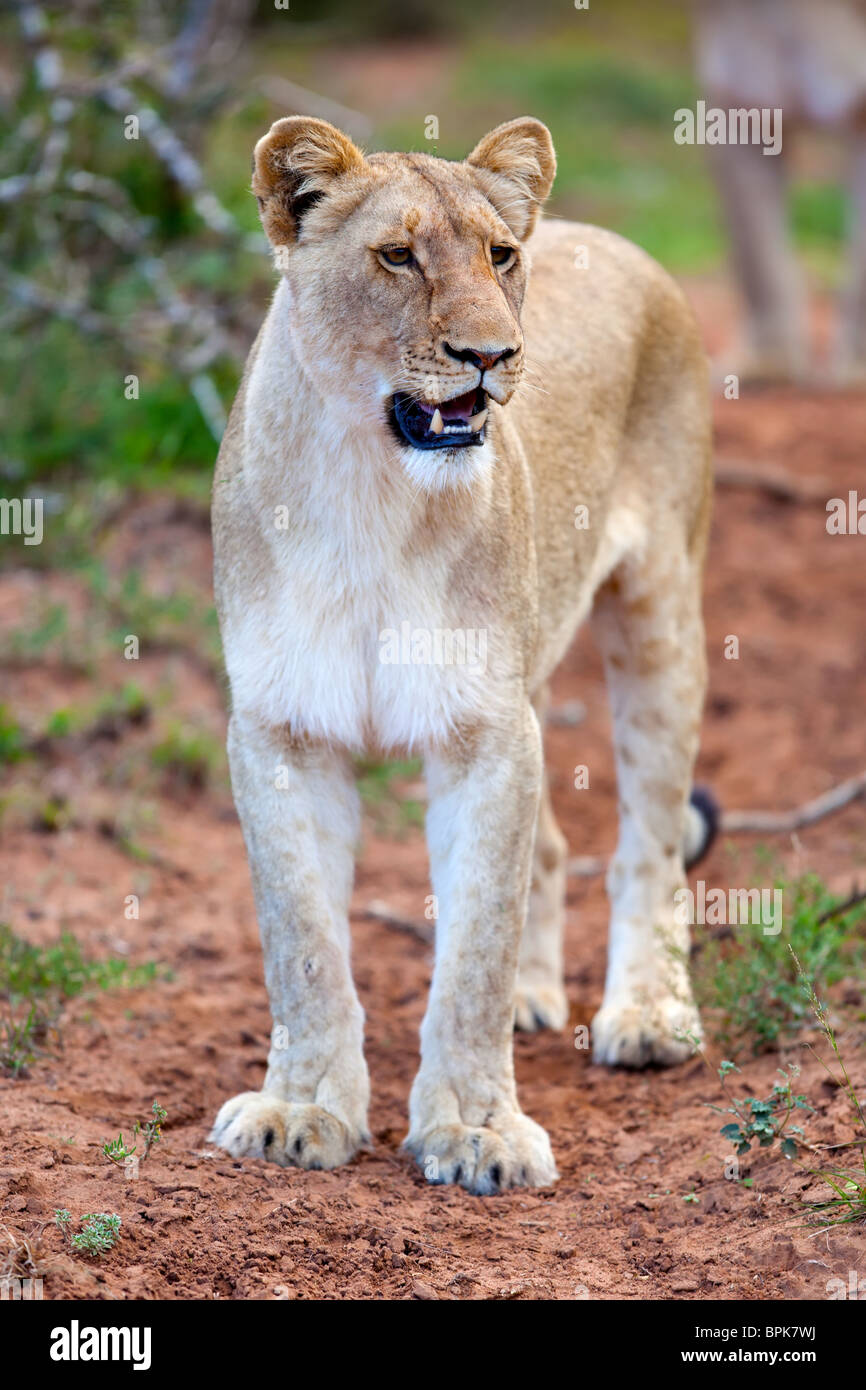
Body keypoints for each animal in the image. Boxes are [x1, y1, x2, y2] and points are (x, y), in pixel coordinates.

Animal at [209, 115, 715, 1194]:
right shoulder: (279, 729)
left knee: (646, 842)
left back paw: (649, 1014)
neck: (371, 488)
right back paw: (539, 997)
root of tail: (618, 242)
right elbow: (301, 941)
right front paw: (300, 1110)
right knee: (554, 847)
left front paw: (478, 1131)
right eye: (397, 256)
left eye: (500, 254)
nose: (491, 354)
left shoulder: (486, 730)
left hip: (661, 612)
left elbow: (474, 948)